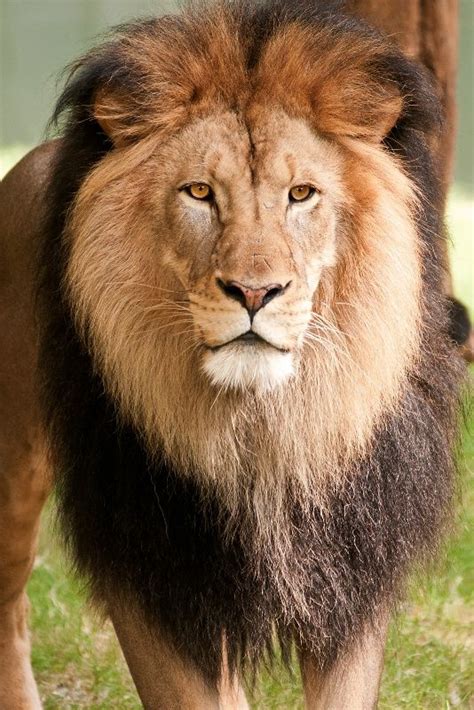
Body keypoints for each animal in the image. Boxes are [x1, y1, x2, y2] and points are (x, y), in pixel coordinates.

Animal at [0, 1, 464, 707]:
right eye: (198, 192)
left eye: (301, 194)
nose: (254, 292)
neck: (262, 427)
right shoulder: (152, 564)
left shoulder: (354, 569)